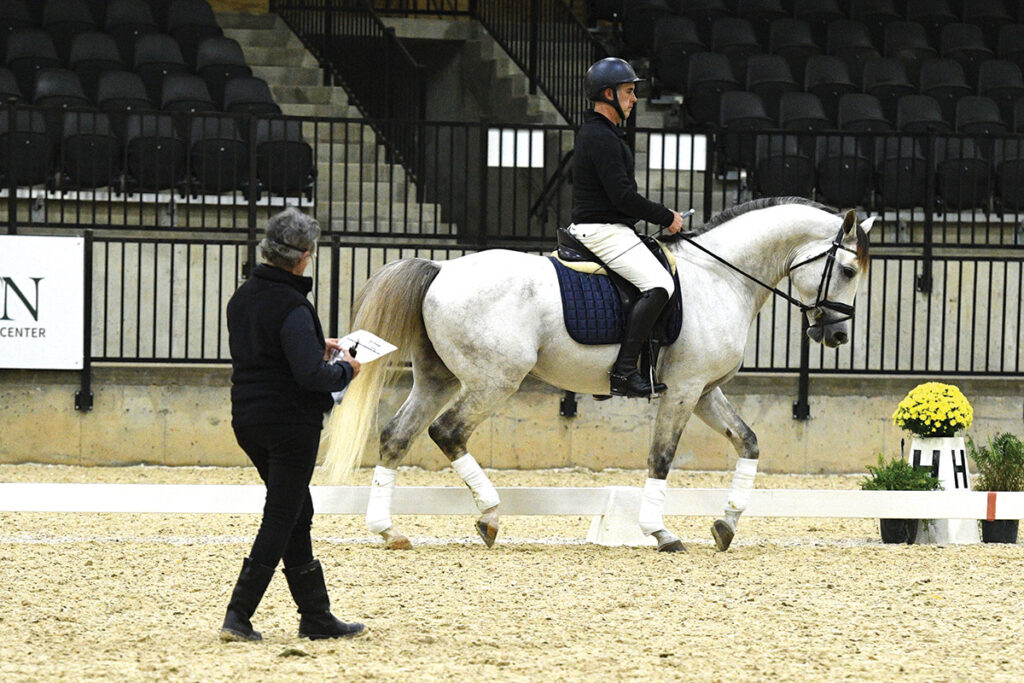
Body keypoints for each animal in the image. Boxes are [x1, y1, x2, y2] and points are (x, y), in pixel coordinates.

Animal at [322, 197, 874, 552]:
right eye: (848, 270)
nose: (837, 336)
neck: (722, 278)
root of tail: (440, 269)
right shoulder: (684, 390)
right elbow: (661, 457)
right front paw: (661, 532)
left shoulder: (704, 392)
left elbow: (750, 442)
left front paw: (726, 523)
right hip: (493, 380)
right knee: (447, 431)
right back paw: (490, 516)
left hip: (439, 379)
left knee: (396, 436)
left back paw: (389, 531)